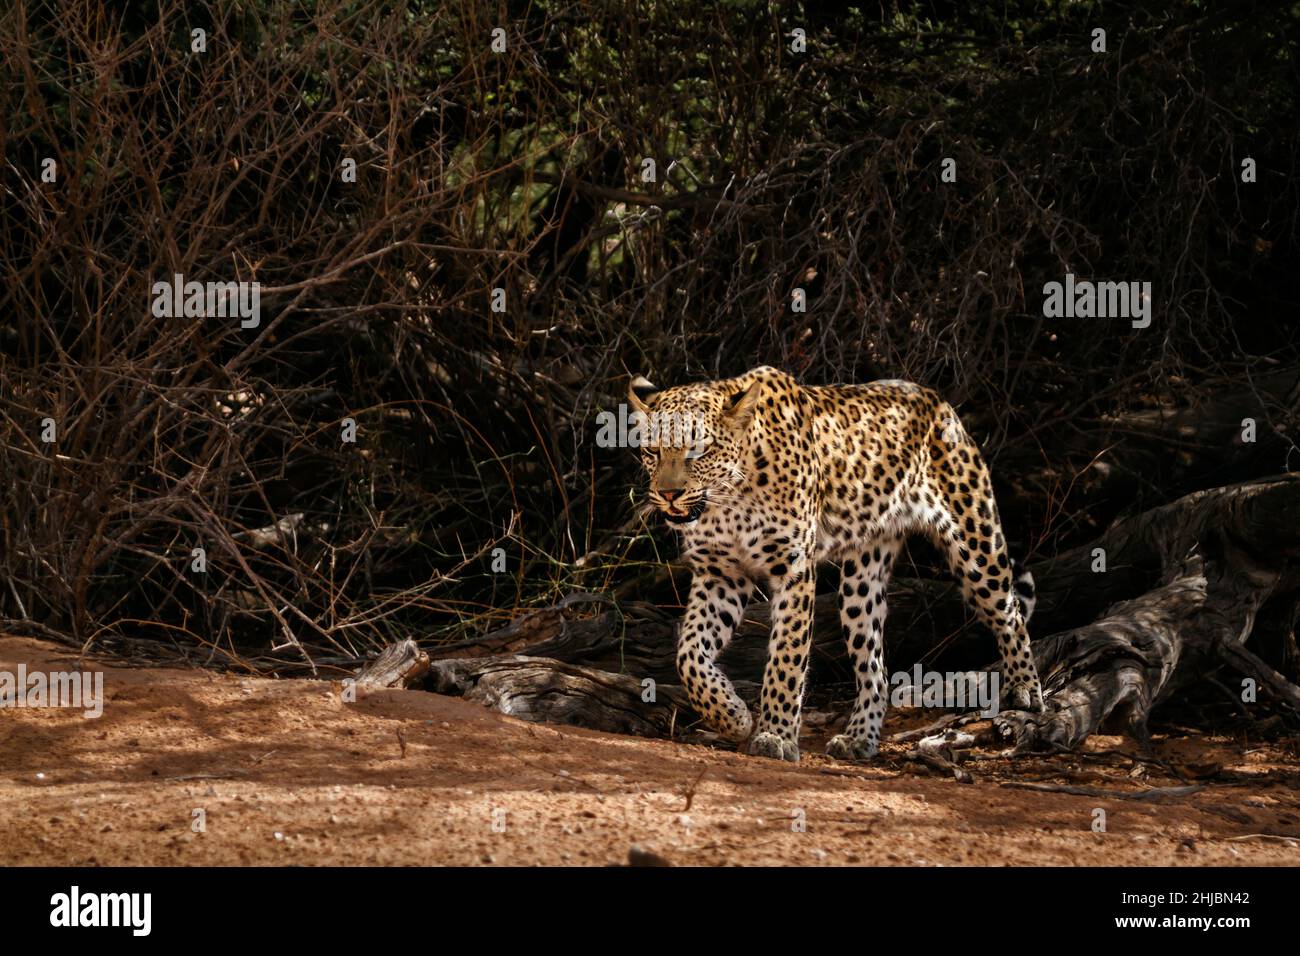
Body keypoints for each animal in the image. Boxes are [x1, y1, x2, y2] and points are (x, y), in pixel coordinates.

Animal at [627, 365, 1044, 762]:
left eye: (698, 451)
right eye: (652, 451)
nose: (668, 494)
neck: (727, 501)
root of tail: (939, 402)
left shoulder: (793, 569)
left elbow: (787, 660)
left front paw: (775, 735)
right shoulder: (720, 573)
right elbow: (688, 655)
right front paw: (730, 715)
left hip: (976, 542)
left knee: (1010, 613)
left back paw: (1025, 689)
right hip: (861, 582)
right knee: (875, 669)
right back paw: (859, 737)